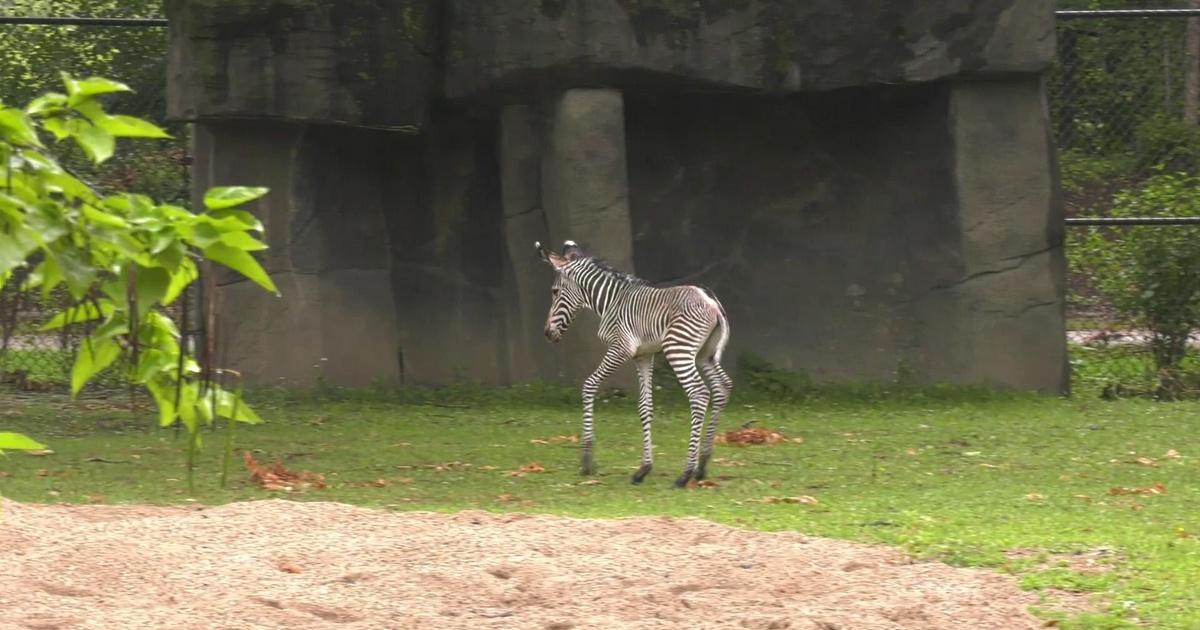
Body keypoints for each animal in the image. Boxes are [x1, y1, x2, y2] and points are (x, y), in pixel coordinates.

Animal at [534, 240, 733, 488]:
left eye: (554, 291)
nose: (547, 334)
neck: (610, 301)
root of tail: (711, 302)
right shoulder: (643, 356)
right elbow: (645, 406)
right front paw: (643, 469)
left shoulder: (620, 348)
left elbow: (589, 385)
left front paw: (587, 460)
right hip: (704, 355)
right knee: (722, 387)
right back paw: (702, 465)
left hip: (678, 350)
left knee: (699, 393)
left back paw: (686, 473)